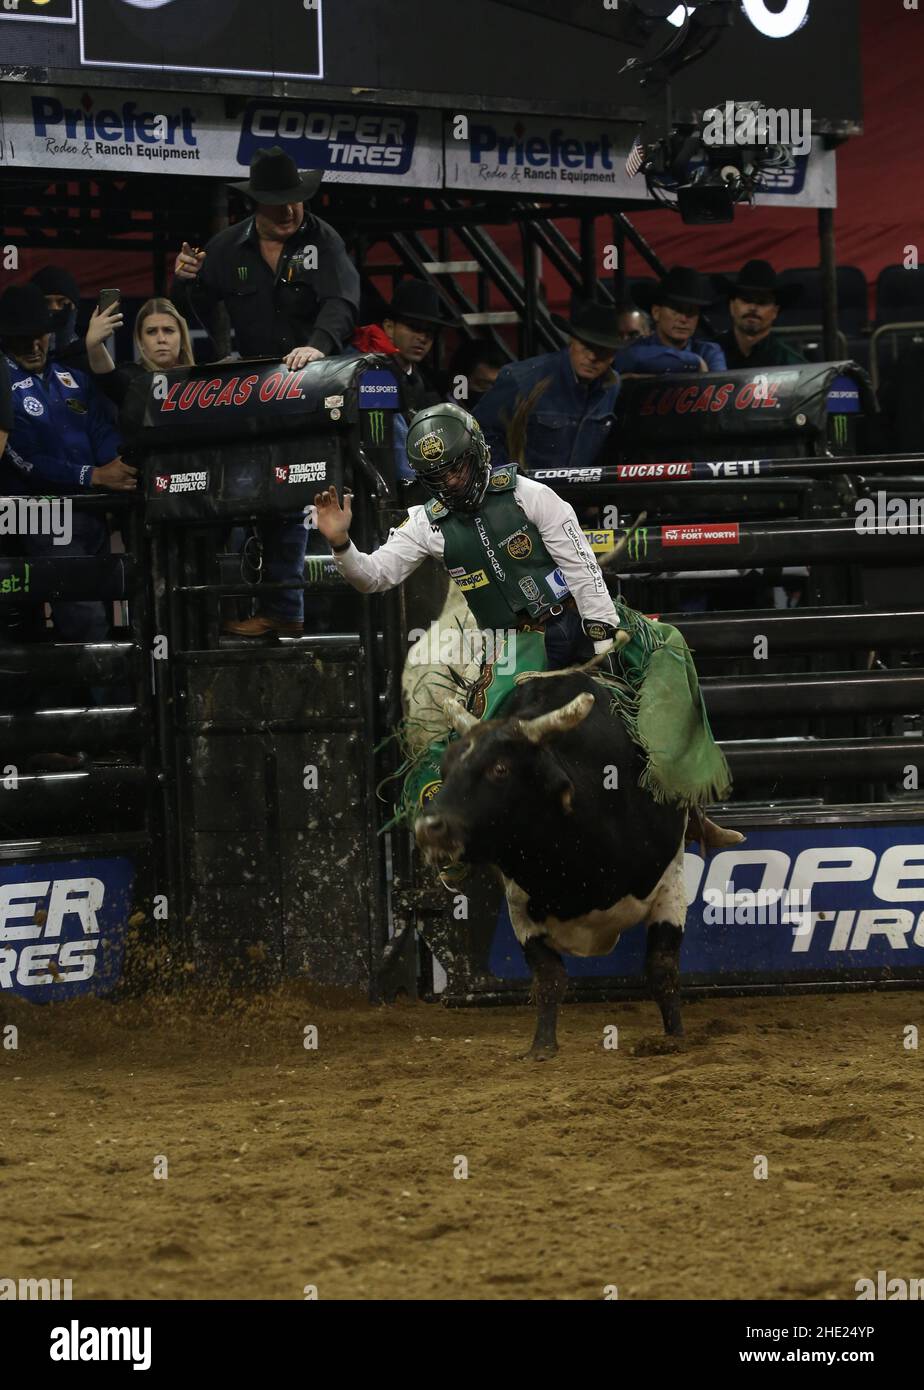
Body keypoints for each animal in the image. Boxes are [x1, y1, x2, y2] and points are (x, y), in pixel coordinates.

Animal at [415, 668, 690, 1060]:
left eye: (500, 768)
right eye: (445, 768)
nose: (428, 828)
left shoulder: (671, 882)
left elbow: (661, 968)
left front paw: (674, 1037)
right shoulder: (520, 905)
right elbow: (549, 977)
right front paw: (541, 1046)